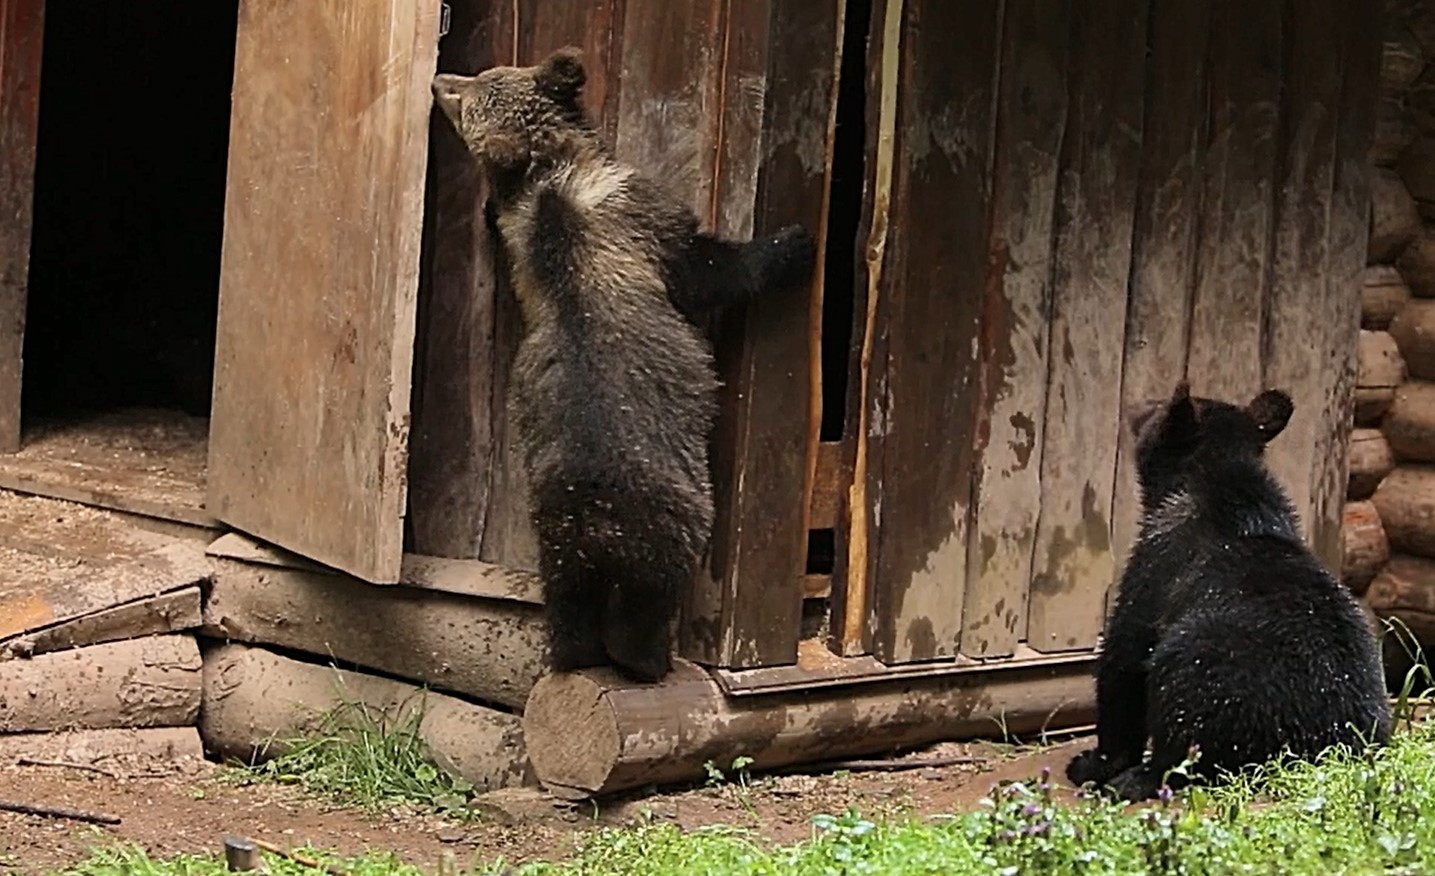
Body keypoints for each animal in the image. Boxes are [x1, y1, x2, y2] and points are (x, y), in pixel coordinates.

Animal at [430, 48, 817, 684]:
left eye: (477, 82)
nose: (439, 79)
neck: (551, 177)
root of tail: (596, 519)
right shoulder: (643, 223)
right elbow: (711, 269)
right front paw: (793, 243)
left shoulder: (531, 234)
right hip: (670, 517)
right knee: (646, 598)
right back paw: (649, 660)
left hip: (555, 534)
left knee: (568, 603)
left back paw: (572, 655)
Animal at [1066, 380, 1392, 801]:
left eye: (1156, 407)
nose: (1136, 405)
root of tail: (1325, 748)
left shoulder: (1156, 567)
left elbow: (1124, 657)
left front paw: (1094, 762)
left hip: (1212, 671)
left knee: (1182, 715)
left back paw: (1137, 778)